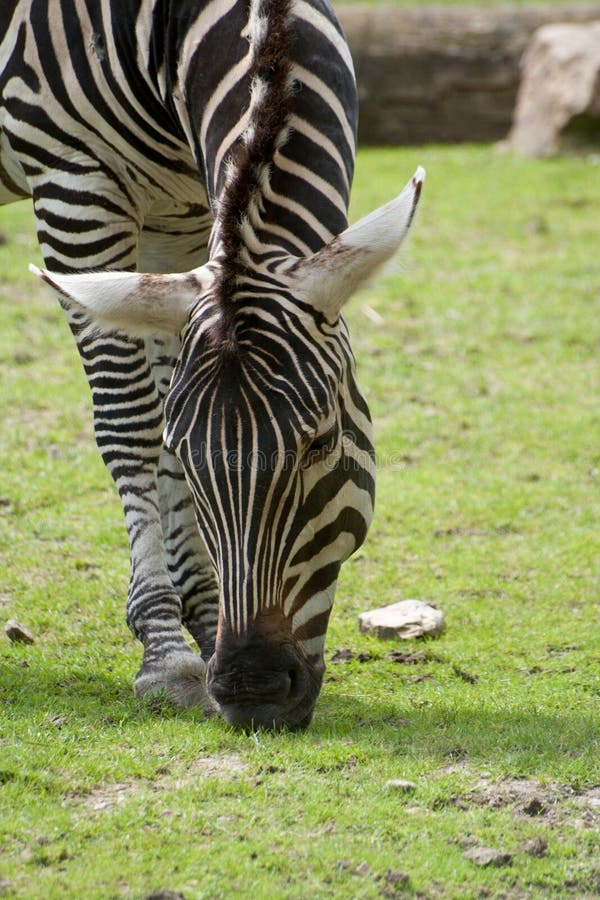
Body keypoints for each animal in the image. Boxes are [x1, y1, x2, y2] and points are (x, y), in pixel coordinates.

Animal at [1, 0, 423, 729]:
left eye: (321, 445)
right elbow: (129, 423)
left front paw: (202, 619)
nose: (252, 690)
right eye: (184, 447)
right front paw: (166, 653)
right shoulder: (74, 186)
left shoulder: (182, 213)